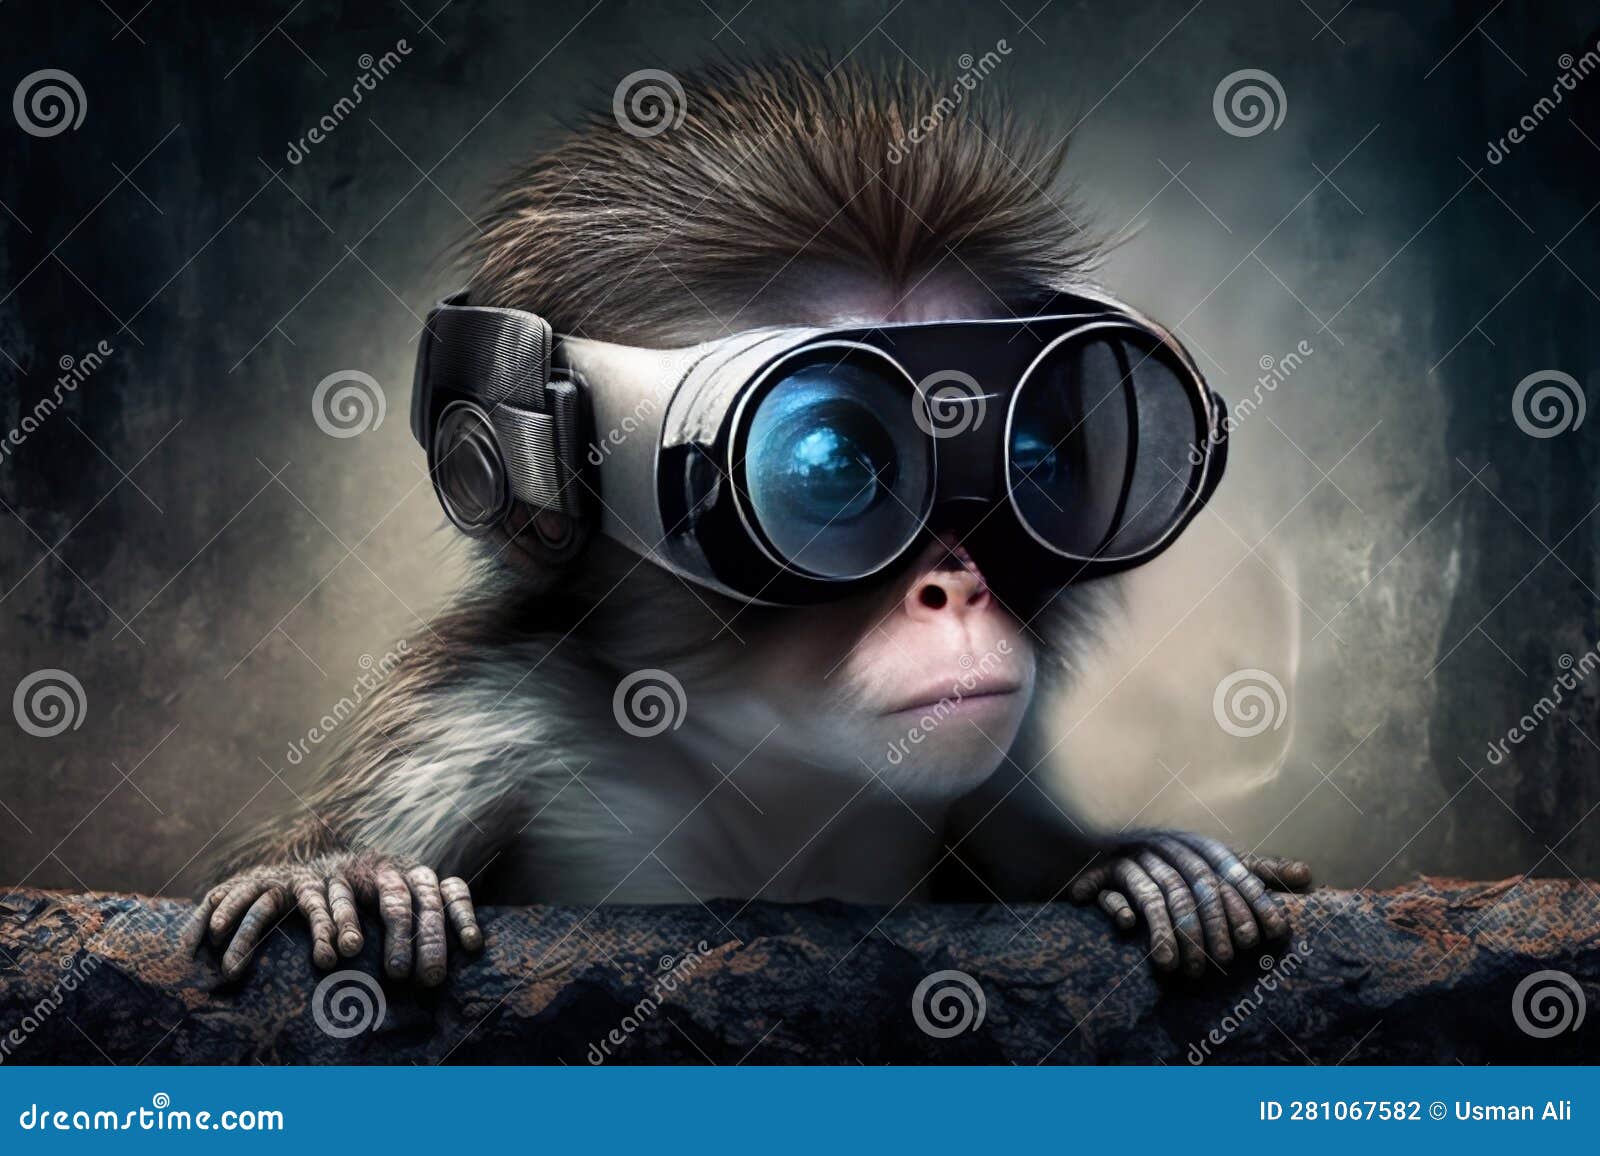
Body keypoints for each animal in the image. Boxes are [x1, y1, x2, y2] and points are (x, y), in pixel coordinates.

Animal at [201, 57, 1311, 988]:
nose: (956, 585)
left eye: (1038, 454)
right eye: (829, 467)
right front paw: (337, 878)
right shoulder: (486, 713)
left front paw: (1127, 862)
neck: (773, 770)